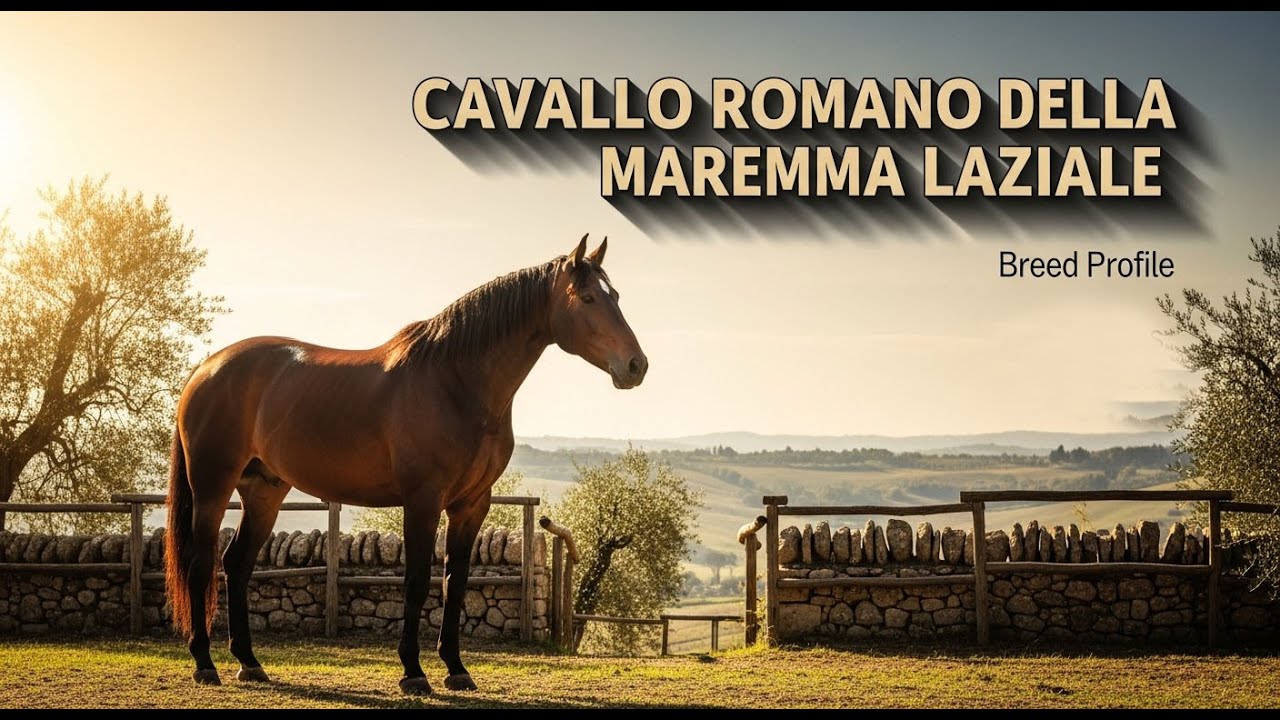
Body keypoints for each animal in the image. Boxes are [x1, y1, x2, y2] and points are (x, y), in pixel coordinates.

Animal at [164, 235, 646, 694]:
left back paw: (249, 663)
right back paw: (205, 663)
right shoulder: (422, 500)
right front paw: (413, 672)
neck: (455, 383)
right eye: (588, 298)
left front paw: (456, 669)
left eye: (618, 295)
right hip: (212, 488)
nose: (636, 365)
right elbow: (415, 581)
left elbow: (455, 582)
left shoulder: (472, 504)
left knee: (237, 564)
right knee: (200, 564)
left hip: (264, 490)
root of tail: (204, 370)